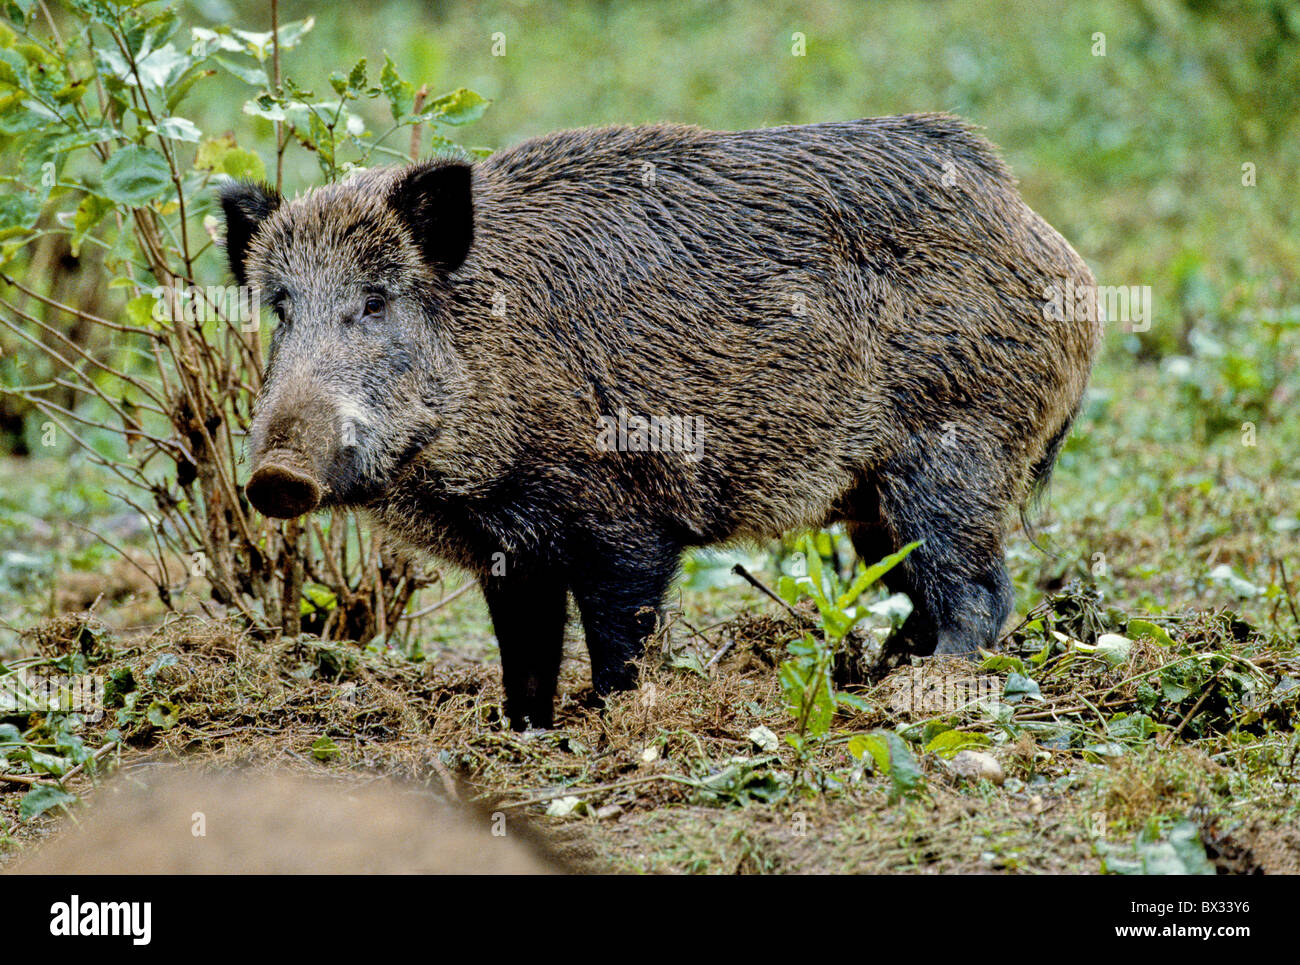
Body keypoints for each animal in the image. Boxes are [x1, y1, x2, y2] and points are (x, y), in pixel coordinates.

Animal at [220, 115, 1099, 729]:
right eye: (281, 308)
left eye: (375, 301)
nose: (277, 475)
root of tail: (1054, 249)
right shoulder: (513, 554)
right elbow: (526, 653)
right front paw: (520, 732)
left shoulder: (627, 517)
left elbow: (619, 638)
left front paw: (616, 721)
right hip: (874, 498)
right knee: (916, 585)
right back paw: (874, 672)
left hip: (956, 449)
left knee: (981, 588)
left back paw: (917, 690)